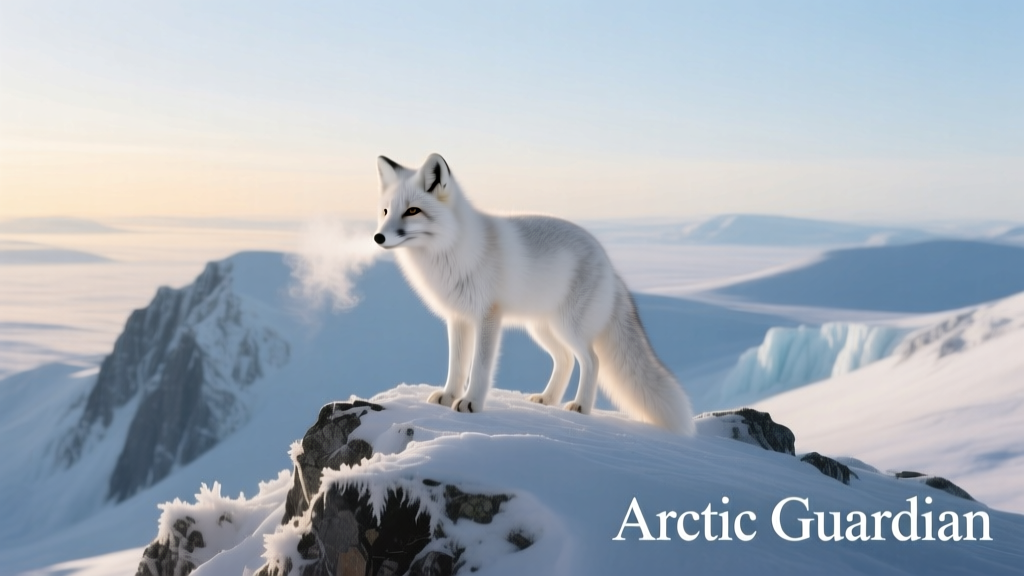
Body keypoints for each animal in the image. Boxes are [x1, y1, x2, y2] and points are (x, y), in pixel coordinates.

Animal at [372, 153, 695, 434]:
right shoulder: (458, 318)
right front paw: (449, 396)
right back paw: (547, 399)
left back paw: (580, 406)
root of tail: (610, 265)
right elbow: (457, 365)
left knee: (592, 361)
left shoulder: (488, 316)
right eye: (385, 211)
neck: (451, 250)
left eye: (412, 211)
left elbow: (480, 367)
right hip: (542, 328)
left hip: (569, 328)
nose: (378, 237)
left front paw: (471, 402)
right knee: (565, 360)